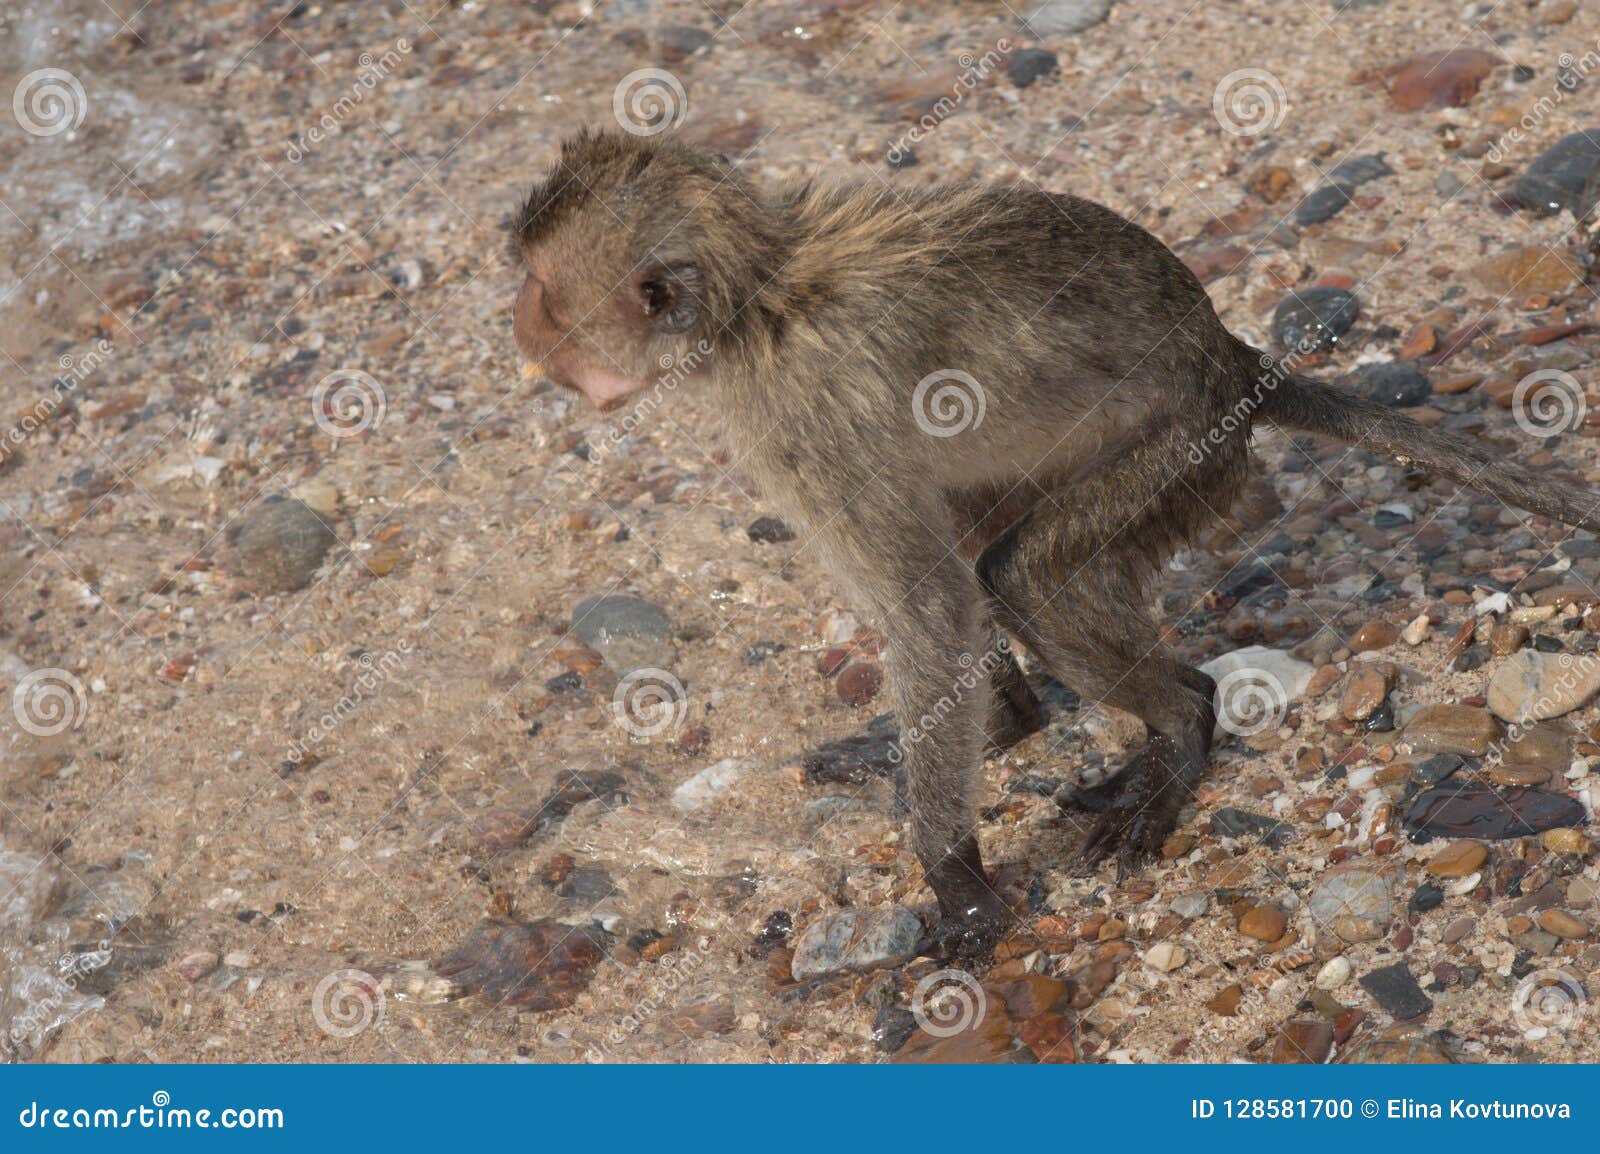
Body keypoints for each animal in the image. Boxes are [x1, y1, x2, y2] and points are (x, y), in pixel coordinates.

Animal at [509, 129, 1600, 956]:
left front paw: (955, 879)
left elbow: (933, 606)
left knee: (1022, 573)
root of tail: (1227, 355)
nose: (518, 328)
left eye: (546, 296)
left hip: (1185, 446)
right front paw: (994, 729)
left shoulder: (801, 409)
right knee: (983, 531)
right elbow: (938, 597)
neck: (758, 297)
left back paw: (1181, 726)